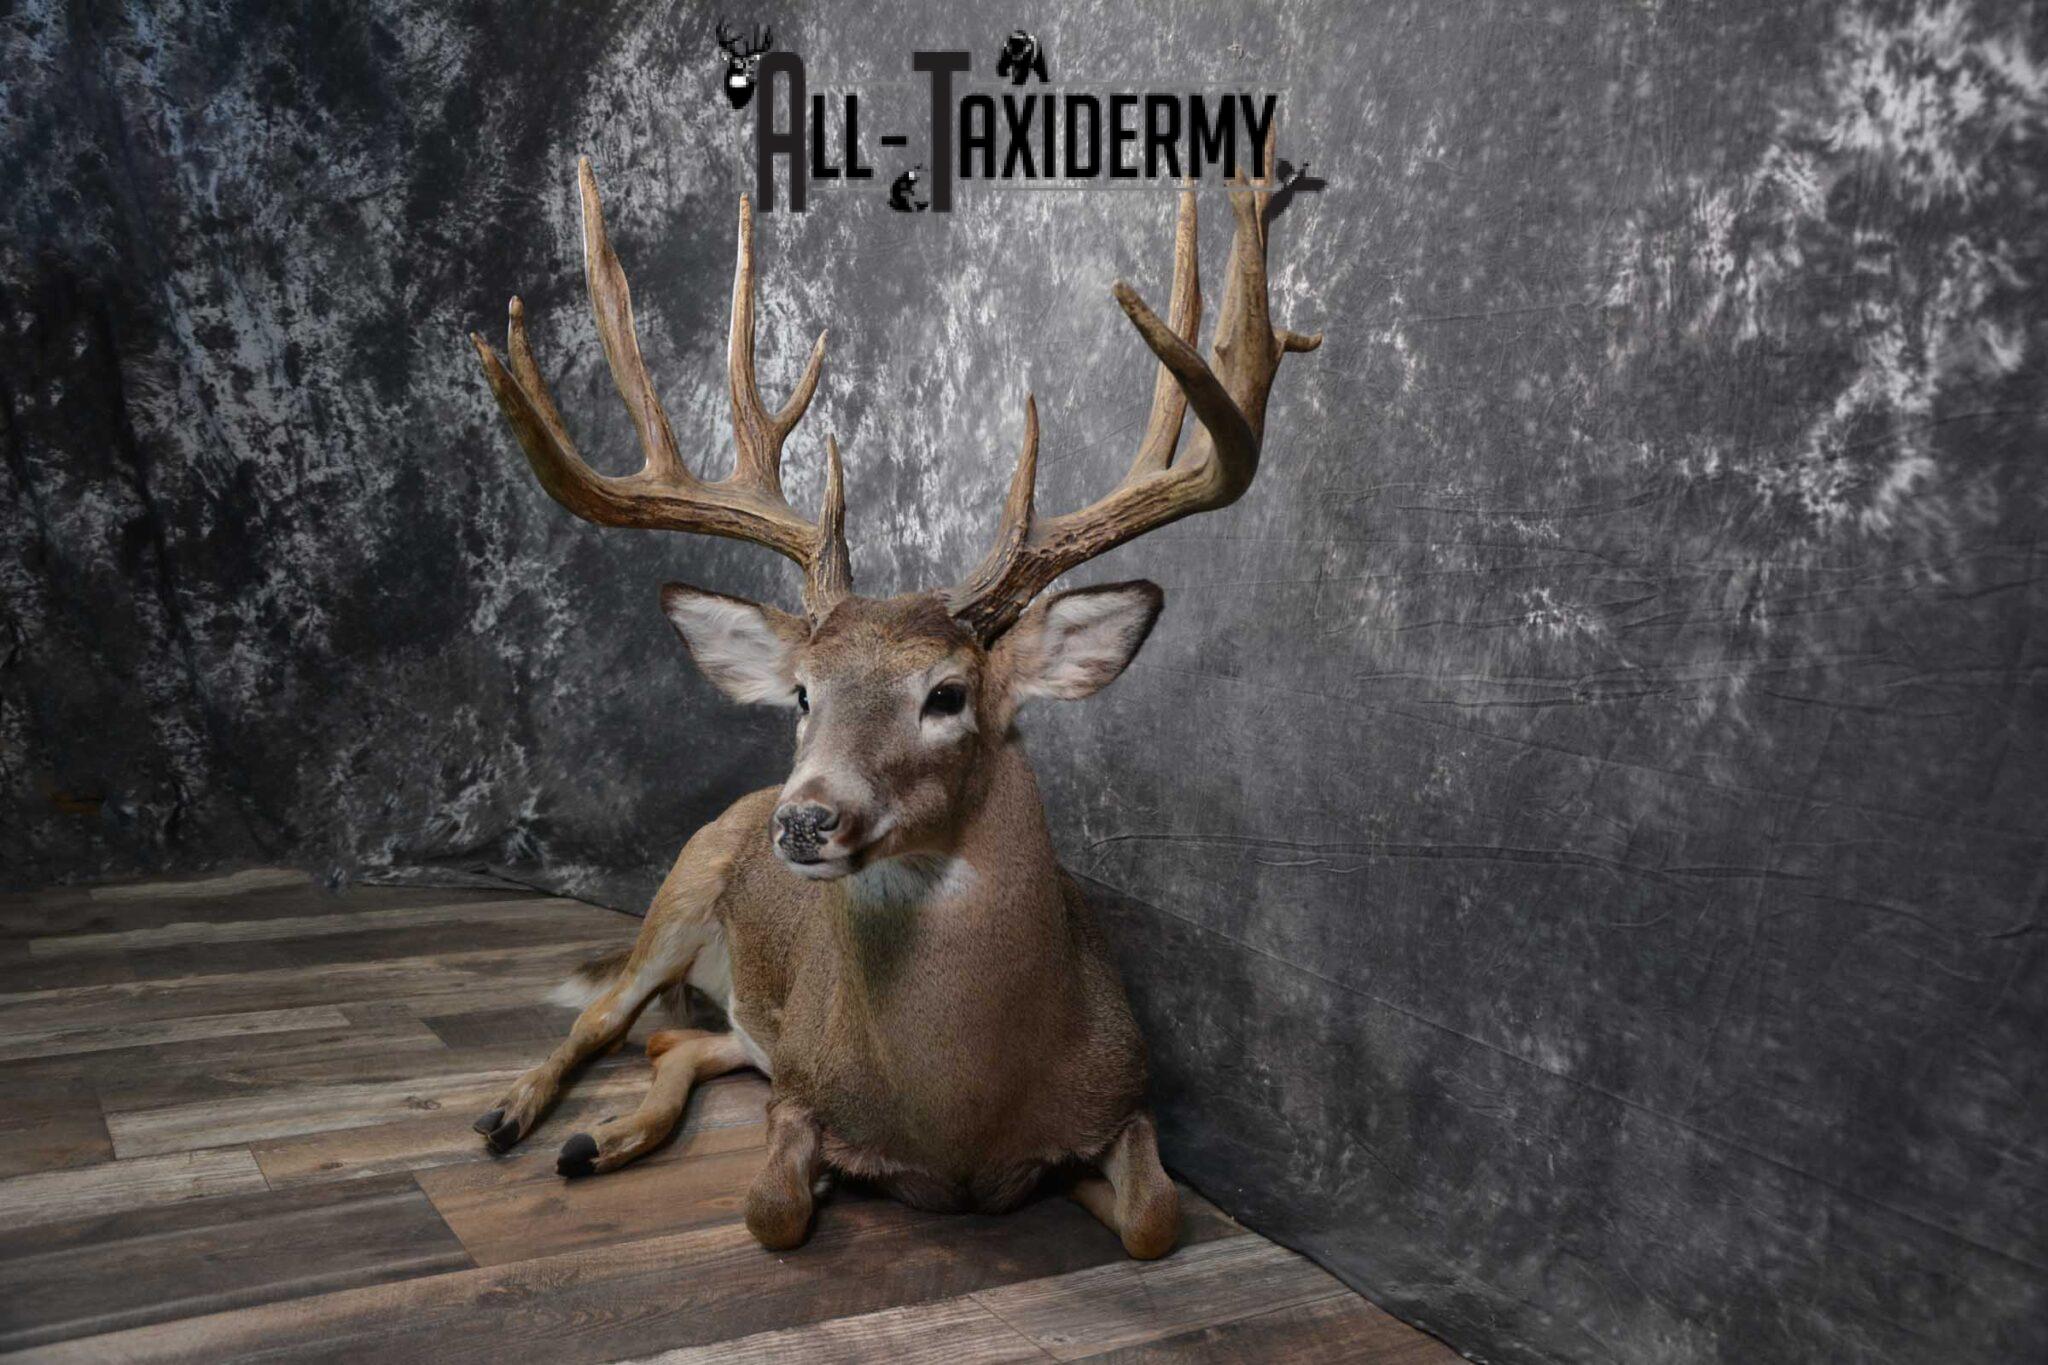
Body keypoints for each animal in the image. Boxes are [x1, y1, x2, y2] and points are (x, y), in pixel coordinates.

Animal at [465, 145, 1319, 1257]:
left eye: (947, 693)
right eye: (799, 693)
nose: (805, 818)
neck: (956, 1115)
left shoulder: (1124, 1096)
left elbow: (1151, 1218)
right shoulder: (800, 1092)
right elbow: (772, 1208)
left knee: (681, 1044)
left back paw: (599, 1139)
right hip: (679, 886)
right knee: (604, 1018)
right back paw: (513, 1115)